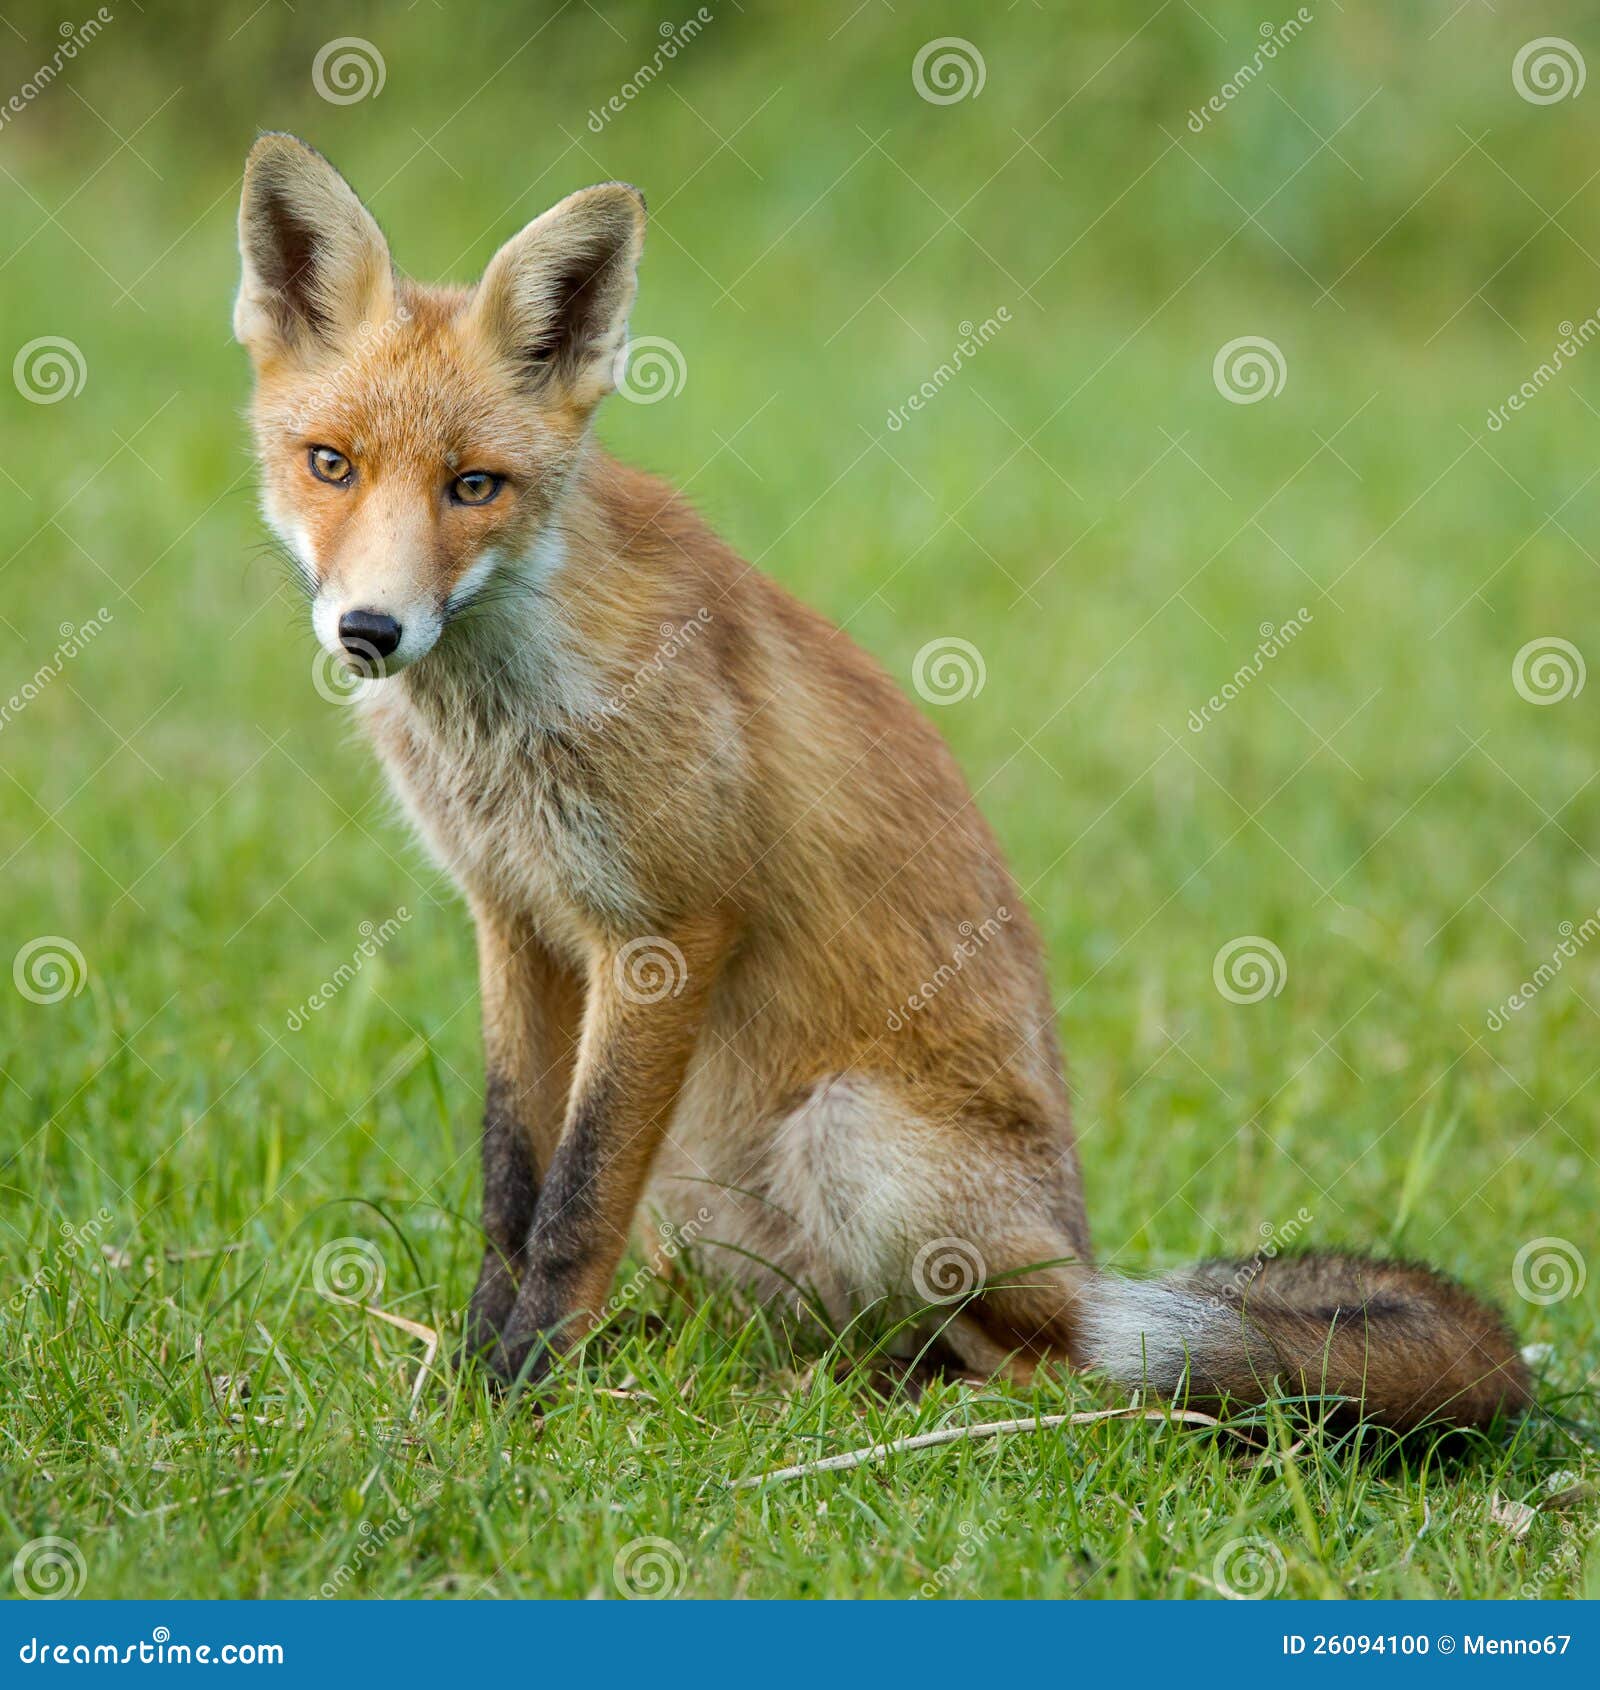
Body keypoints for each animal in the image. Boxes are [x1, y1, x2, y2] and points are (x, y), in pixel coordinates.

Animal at [235, 133, 1531, 1434]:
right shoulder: (514, 917)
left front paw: (516, 1397)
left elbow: (574, 1204)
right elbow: (514, 1189)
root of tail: (1085, 1262)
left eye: (475, 486)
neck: (504, 716)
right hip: (704, 1193)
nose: (369, 629)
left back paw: (890, 1403)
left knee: (1055, 1364)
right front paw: (472, 1371)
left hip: (854, 1138)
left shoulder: (663, 931)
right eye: (331, 465)